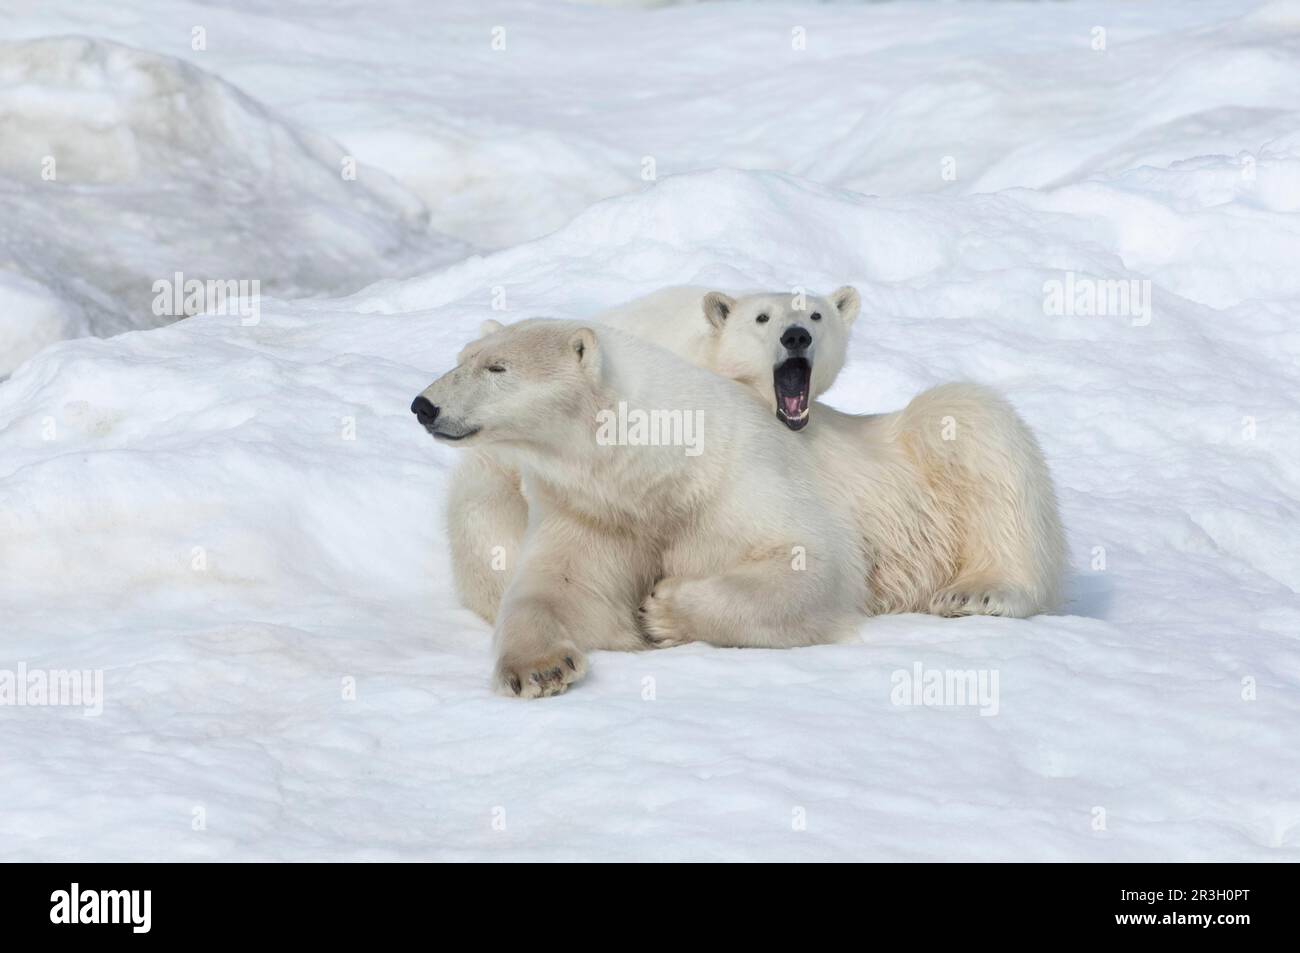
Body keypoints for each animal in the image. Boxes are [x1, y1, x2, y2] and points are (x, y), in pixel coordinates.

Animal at [412, 318, 868, 697]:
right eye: (462, 359)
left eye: (497, 368)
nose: (423, 406)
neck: (666, 474)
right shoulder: (595, 512)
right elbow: (560, 588)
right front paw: (540, 669)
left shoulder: (740, 481)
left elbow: (813, 563)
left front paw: (660, 611)